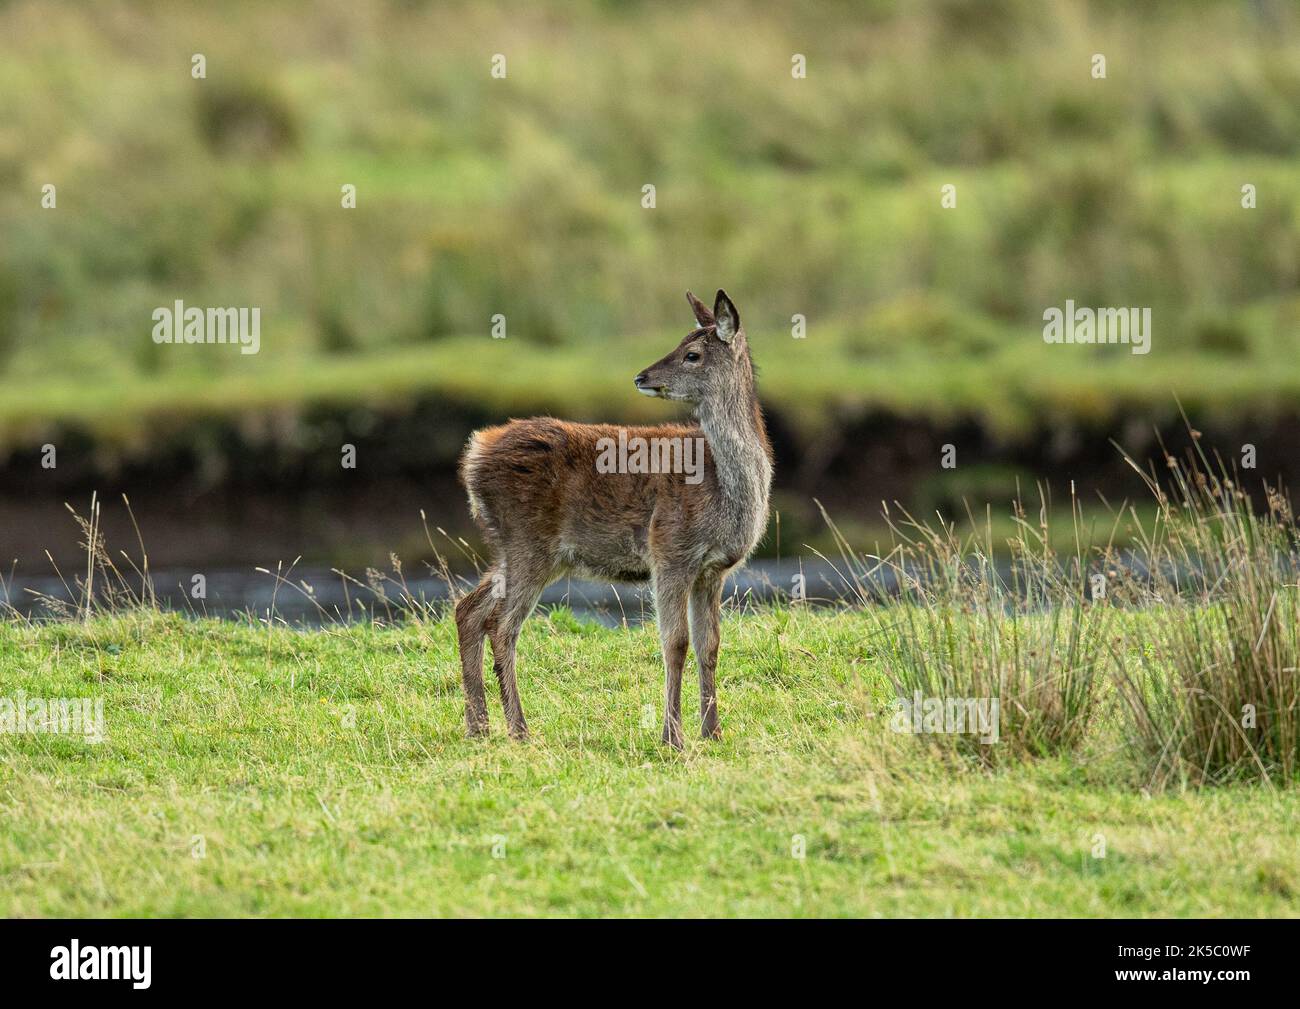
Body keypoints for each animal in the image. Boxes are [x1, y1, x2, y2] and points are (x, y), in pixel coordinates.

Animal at [454, 289, 773, 747]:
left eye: (692, 353)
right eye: (681, 344)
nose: (641, 376)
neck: (723, 490)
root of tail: (473, 455)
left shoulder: (712, 570)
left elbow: (710, 645)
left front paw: (713, 732)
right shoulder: (670, 553)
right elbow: (675, 644)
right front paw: (672, 737)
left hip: (516, 550)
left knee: (468, 609)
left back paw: (478, 725)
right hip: (529, 543)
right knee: (501, 626)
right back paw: (519, 729)